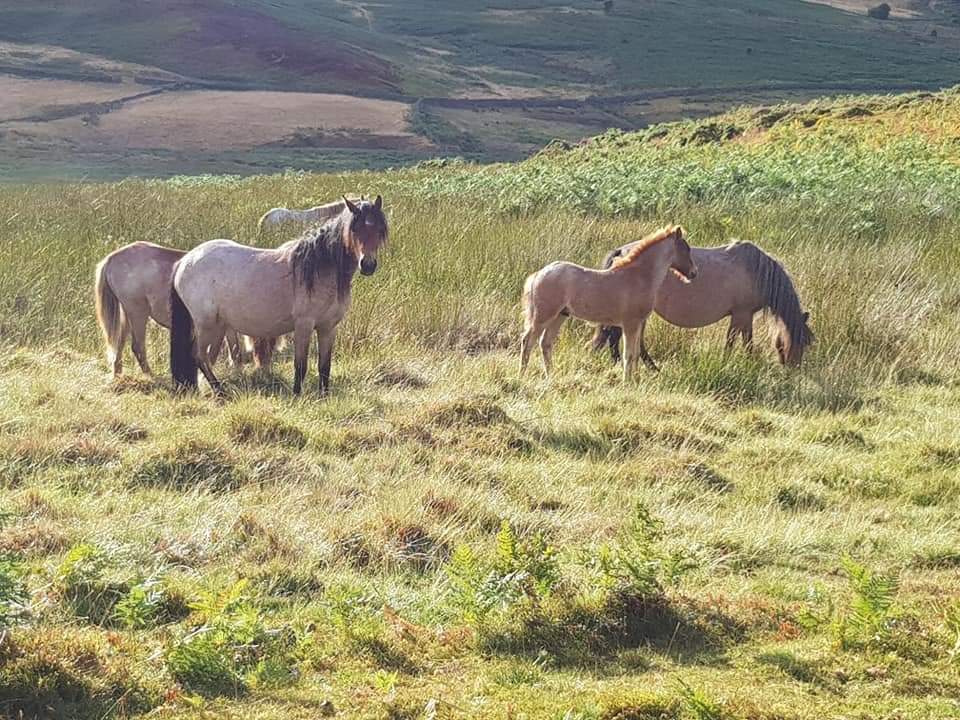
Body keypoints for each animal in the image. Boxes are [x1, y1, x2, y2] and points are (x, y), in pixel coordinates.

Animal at [94, 241, 245, 378]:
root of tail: (111, 258)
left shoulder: (228, 327)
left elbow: (235, 351)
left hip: (127, 314)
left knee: (119, 345)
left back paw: (118, 376)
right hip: (137, 312)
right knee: (137, 346)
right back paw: (151, 376)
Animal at [171, 195, 388, 395]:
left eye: (379, 229)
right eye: (354, 229)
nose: (367, 265)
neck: (318, 269)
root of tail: (184, 261)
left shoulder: (328, 327)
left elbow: (324, 366)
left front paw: (324, 397)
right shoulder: (303, 325)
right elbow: (300, 365)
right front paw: (297, 395)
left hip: (218, 325)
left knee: (206, 357)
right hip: (206, 324)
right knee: (199, 356)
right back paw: (219, 391)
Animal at [520, 225, 697, 380]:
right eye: (686, 249)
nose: (694, 273)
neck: (640, 276)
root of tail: (538, 274)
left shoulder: (638, 324)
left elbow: (636, 354)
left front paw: (636, 381)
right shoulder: (630, 323)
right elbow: (628, 355)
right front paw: (627, 383)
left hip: (560, 316)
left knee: (545, 343)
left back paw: (550, 376)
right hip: (543, 315)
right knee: (528, 341)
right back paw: (522, 375)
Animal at [590, 240, 813, 366]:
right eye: (800, 341)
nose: (793, 370)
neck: (756, 271)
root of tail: (621, 251)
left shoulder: (744, 315)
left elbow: (743, 340)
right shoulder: (741, 314)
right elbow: (738, 341)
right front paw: (736, 363)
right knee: (618, 336)